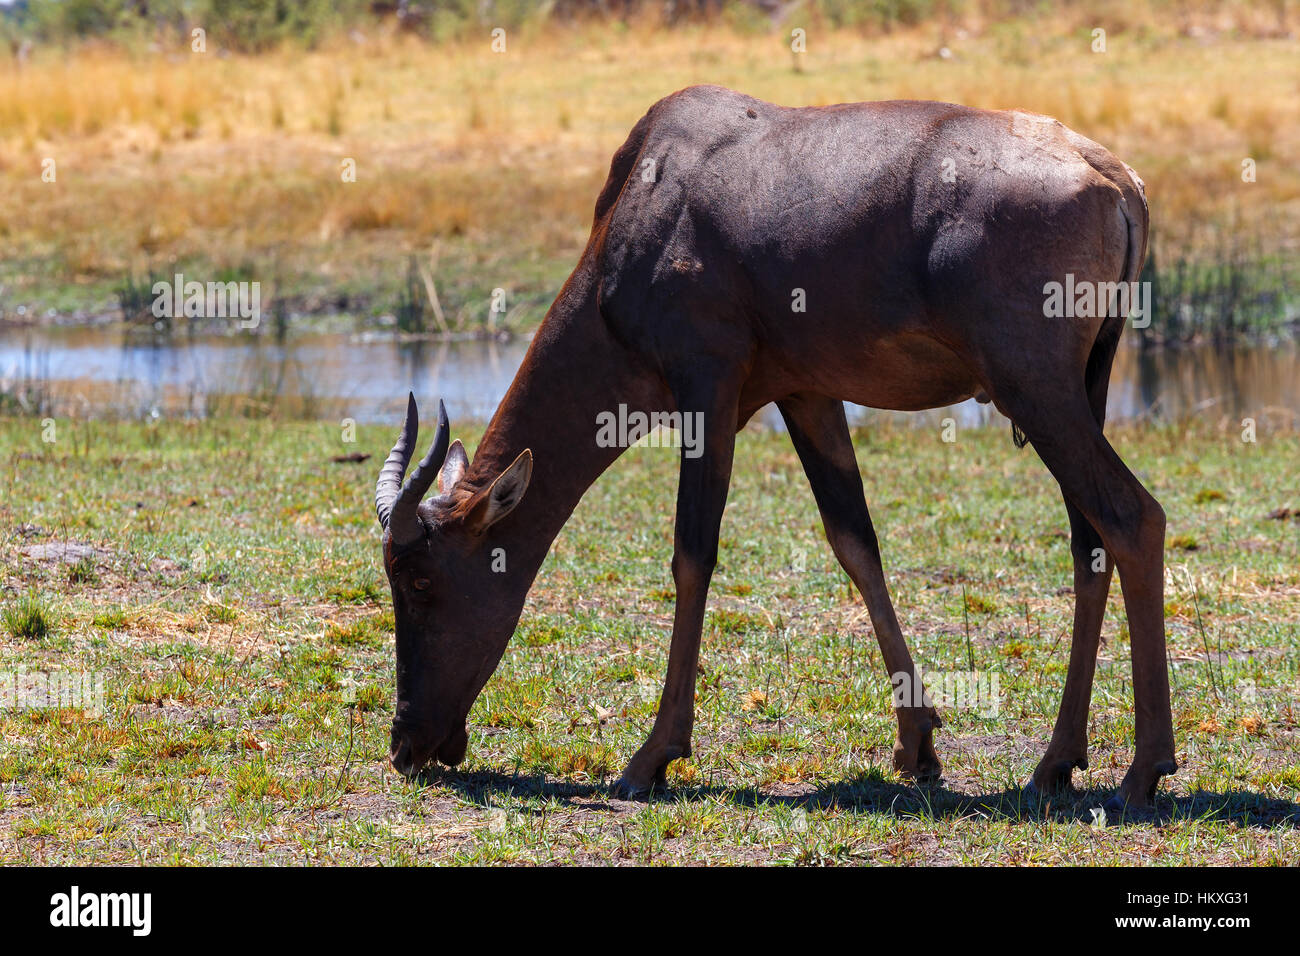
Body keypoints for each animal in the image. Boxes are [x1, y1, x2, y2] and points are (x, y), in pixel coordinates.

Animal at [374, 86, 1174, 810]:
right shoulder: (806, 393)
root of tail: (1114, 178)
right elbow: (854, 542)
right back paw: (1055, 764)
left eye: (419, 579)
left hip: (1034, 388)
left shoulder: (709, 387)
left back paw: (1143, 773)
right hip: (1084, 383)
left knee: (1132, 517)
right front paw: (917, 747)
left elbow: (692, 553)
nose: (409, 745)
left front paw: (650, 758)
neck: (658, 186)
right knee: (1089, 540)